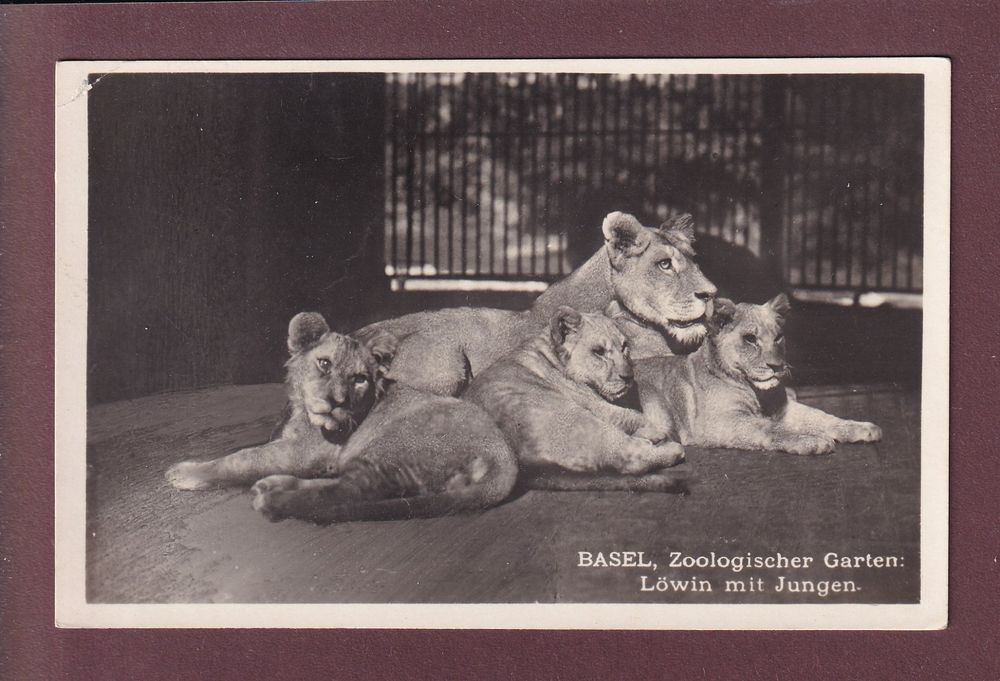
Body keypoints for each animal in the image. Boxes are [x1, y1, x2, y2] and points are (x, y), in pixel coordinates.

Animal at [167, 312, 518, 523]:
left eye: (360, 379)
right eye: (324, 363)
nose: (337, 401)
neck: (300, 407)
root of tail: (503, 455)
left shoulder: (300, 451)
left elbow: (239, 459)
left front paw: (187, 472)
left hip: (387, 450)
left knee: (348, 492)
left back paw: (274, 498)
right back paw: (274, 485)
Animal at [464, 306, 688, 492]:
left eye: (625, 347)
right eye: (598, 352)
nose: (628, 377)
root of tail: (528, 470)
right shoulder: (597, 406)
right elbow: (632, 416)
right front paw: (656, 430)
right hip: (578, 419)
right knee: (629, 457)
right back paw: (670, 447)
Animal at [634, 294, 883, 456]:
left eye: (778, 337)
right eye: (750, 339)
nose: (777, 366)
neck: (757, 392)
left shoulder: (784, 407)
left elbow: (820, 416)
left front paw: (862, 428)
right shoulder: (716, 423)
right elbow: (769, 427)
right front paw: (812, 439)